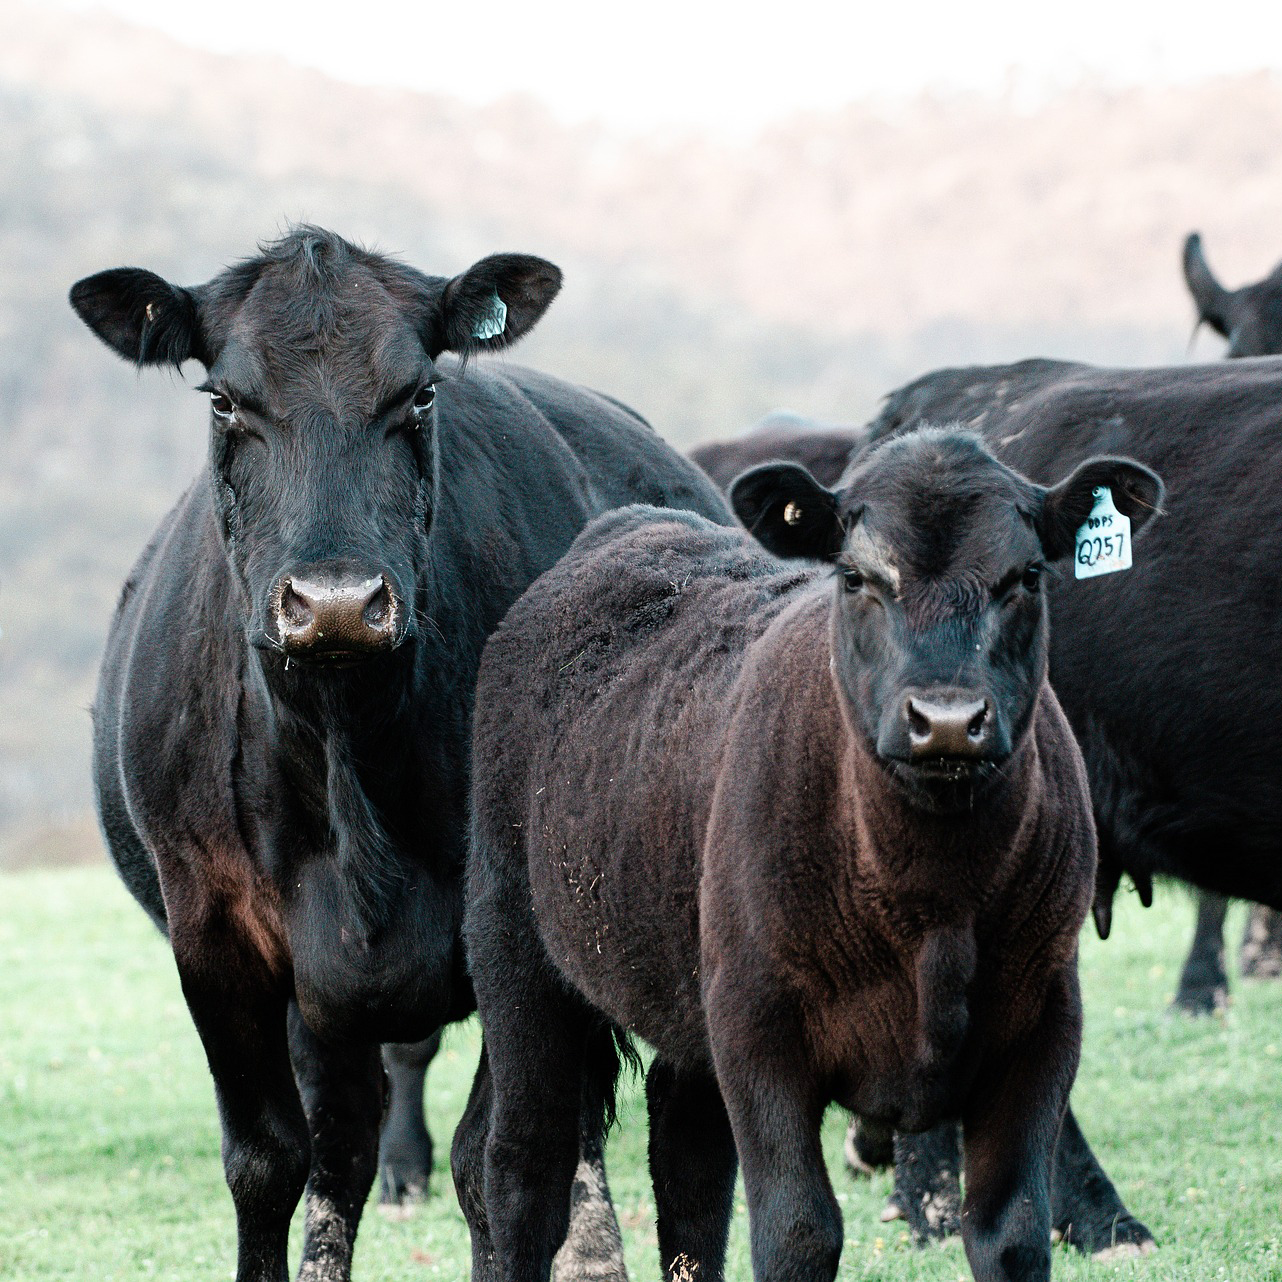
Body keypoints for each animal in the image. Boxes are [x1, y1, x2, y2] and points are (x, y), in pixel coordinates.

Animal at [70, 226, 729, 1282]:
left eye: (419, 394)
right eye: (224, 399)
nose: (337, 601)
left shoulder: (510, 929)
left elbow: (494, 1165)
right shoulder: (213, 930)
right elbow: (270, 1159)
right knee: (344, 1140)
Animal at [458, 427, 1163, 1282]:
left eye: (1026, 576)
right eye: (856, 576)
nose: (948, 720)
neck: (936, 905)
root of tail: (627, 528)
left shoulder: (1043, 1023)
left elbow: (1012, 1229)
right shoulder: (759, 1028)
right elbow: (798, 1230)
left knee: (688, 1161)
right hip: (514, 950)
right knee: (522, 1166)